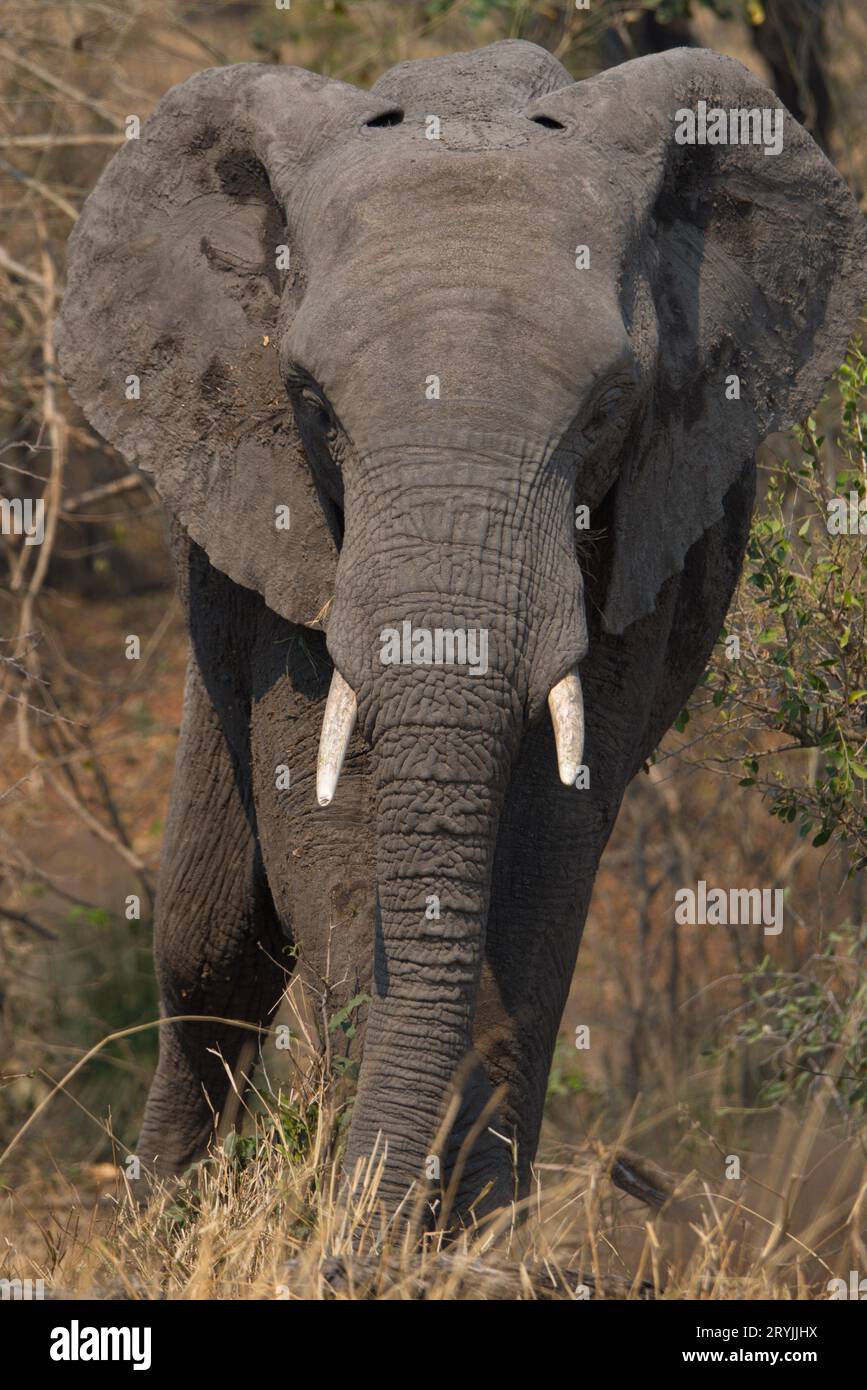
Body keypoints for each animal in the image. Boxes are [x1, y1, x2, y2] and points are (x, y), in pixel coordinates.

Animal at [56, 40, 866, 1226]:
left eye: (608, 403)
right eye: (310, 401)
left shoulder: (638, 530)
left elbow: (550, 846)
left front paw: (469, 1224)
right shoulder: (289, 514)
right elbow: (330, 829)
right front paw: (364, 1210)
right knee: (210, 947)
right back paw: (160, 1218)